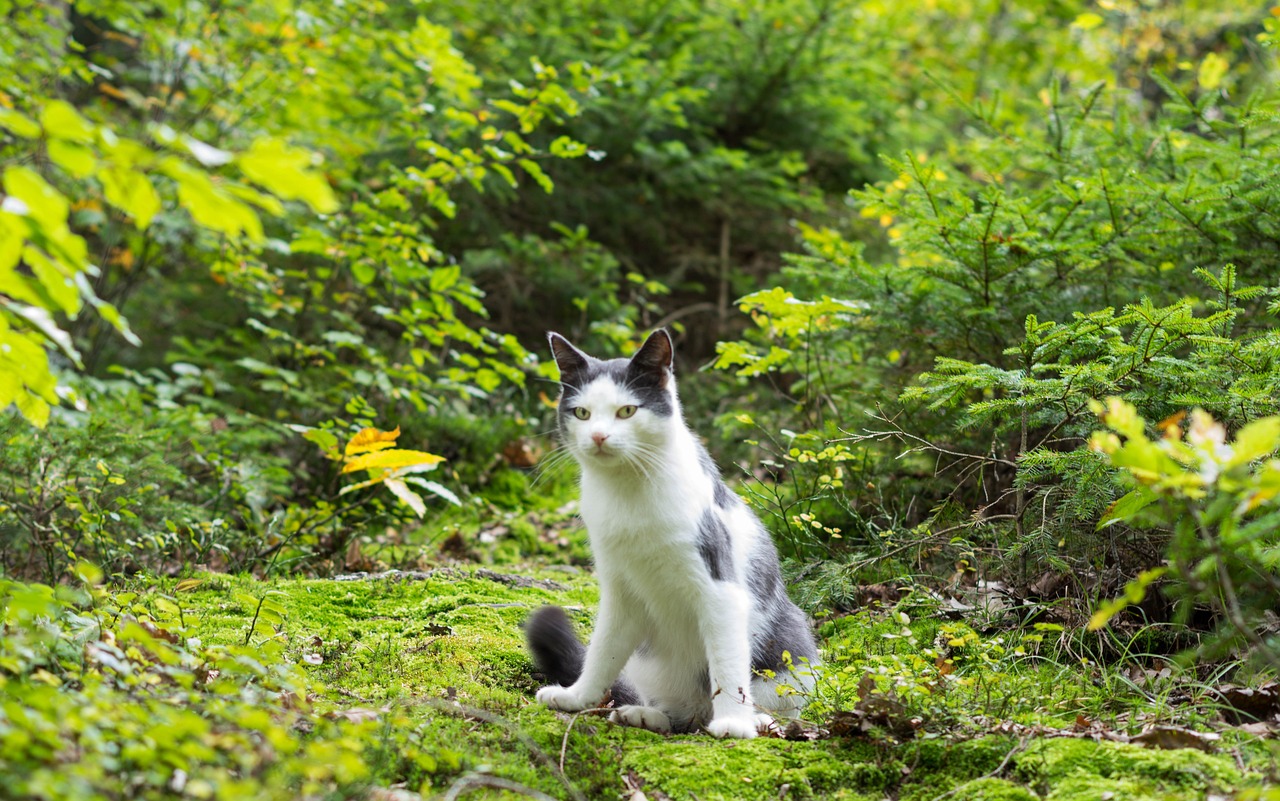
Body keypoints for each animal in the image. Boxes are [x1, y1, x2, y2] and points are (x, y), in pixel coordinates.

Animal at [522, 326, 814, 737]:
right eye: (582, 412)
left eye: (627, 410)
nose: (597, 436)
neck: (629, 492)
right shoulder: (619, 591)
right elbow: (602, 650)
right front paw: (577, 697)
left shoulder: (720, 587)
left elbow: (726, 664)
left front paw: (733, 723)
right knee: (682, 716)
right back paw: (648, 715)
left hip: (791, 647)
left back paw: (756, 718)